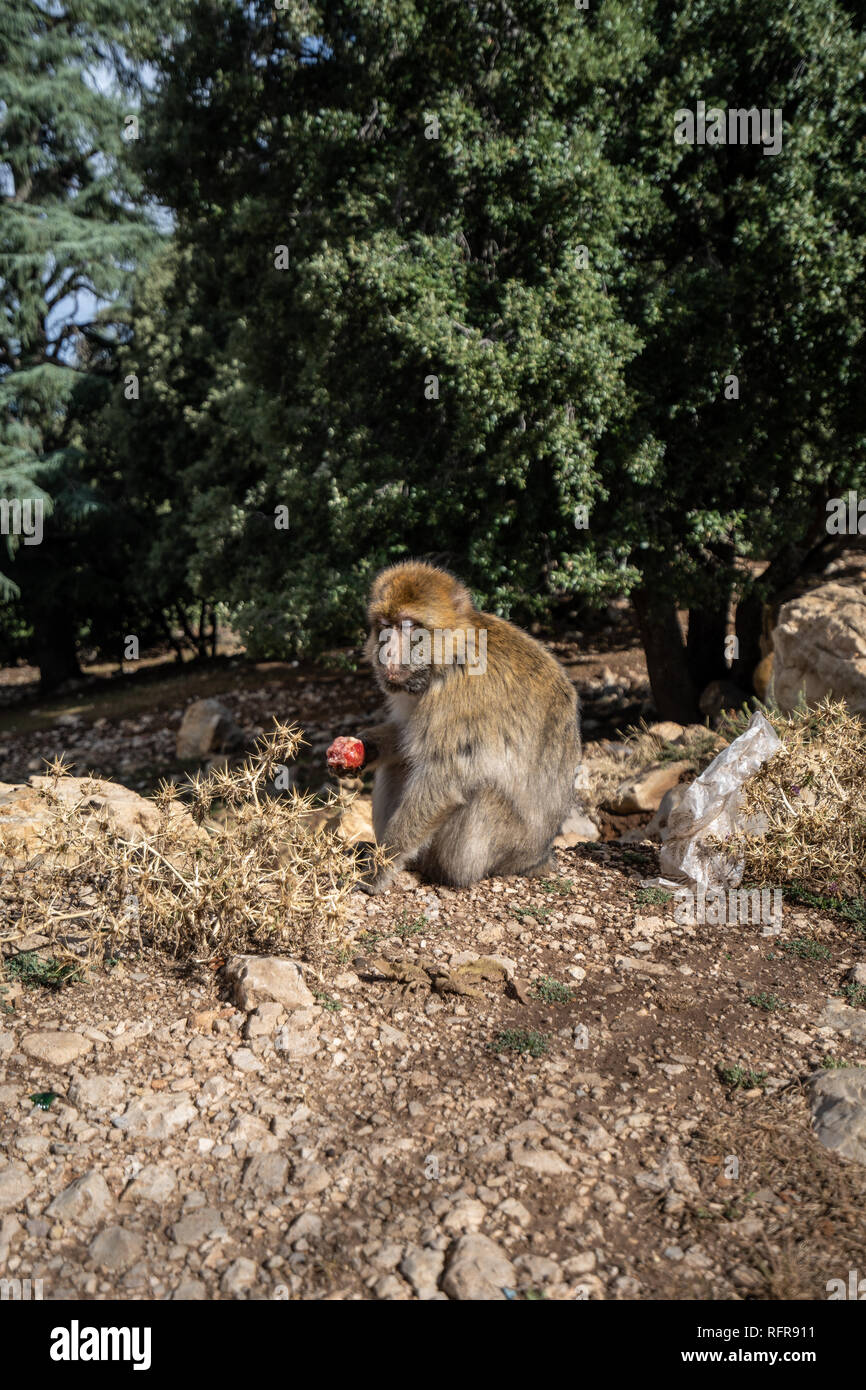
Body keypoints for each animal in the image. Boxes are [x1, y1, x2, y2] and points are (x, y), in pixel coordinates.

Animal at [354, 561, 581, 893]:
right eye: (384, 625)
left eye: (408, 626)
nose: (388, 654)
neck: (450, 656)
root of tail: (537, 857)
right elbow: (405, 736)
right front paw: (363, 747)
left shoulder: (462, 694)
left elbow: (443, 779)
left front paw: (379, 869)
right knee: (399, 764)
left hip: (501, 848)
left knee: (478, 789)